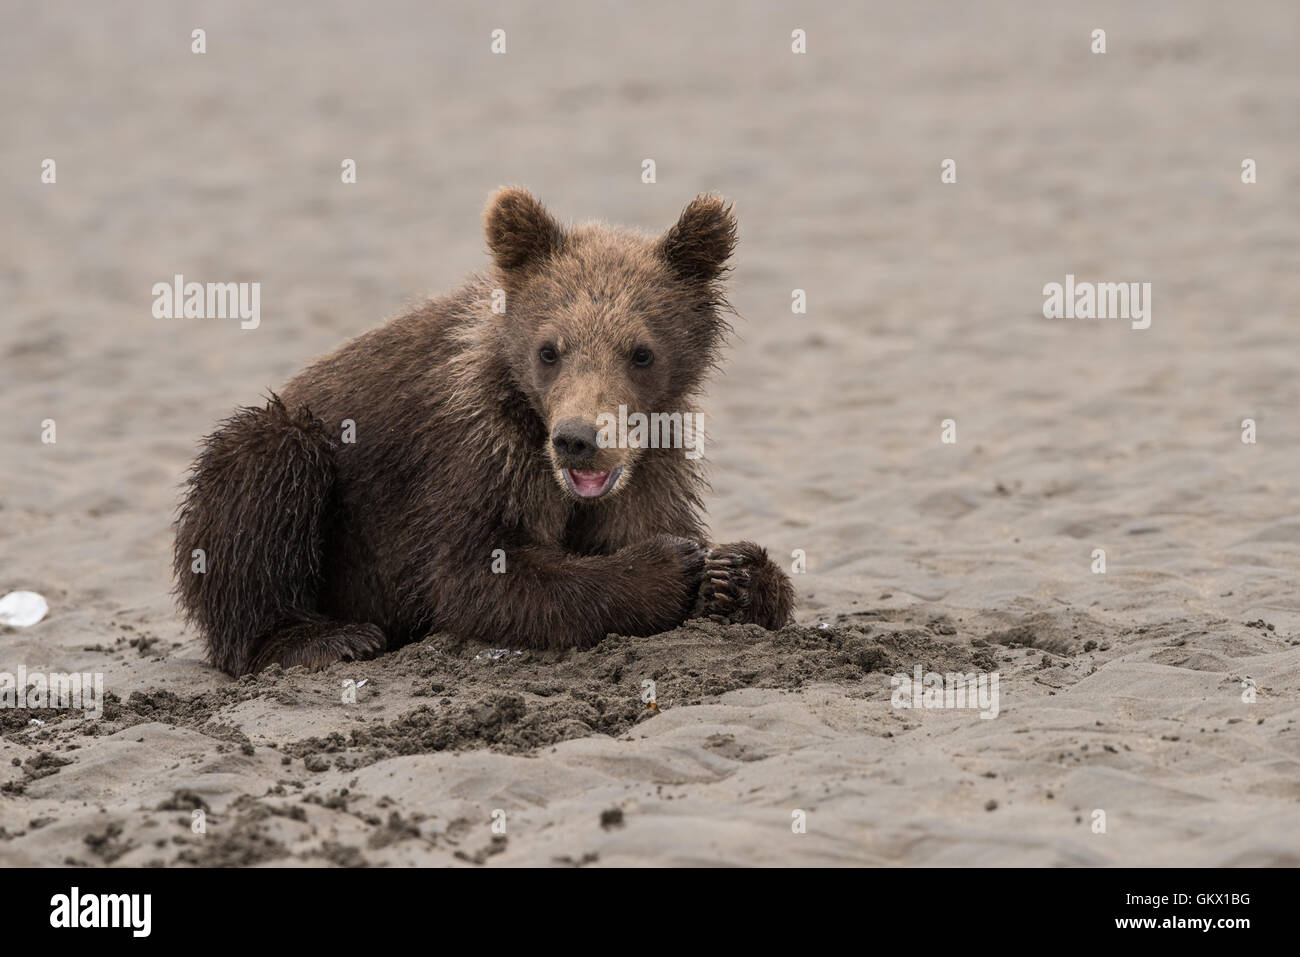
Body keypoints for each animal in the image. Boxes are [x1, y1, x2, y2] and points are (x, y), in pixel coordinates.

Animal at [173, 187, 795, 677]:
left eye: (641, 352)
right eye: (549, 349)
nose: (578, 440)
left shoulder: (650, 464)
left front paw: (735, 573)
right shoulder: (478, 451)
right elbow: (477, 576)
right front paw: (672, 567)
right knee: (266, 466)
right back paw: (322, 639)